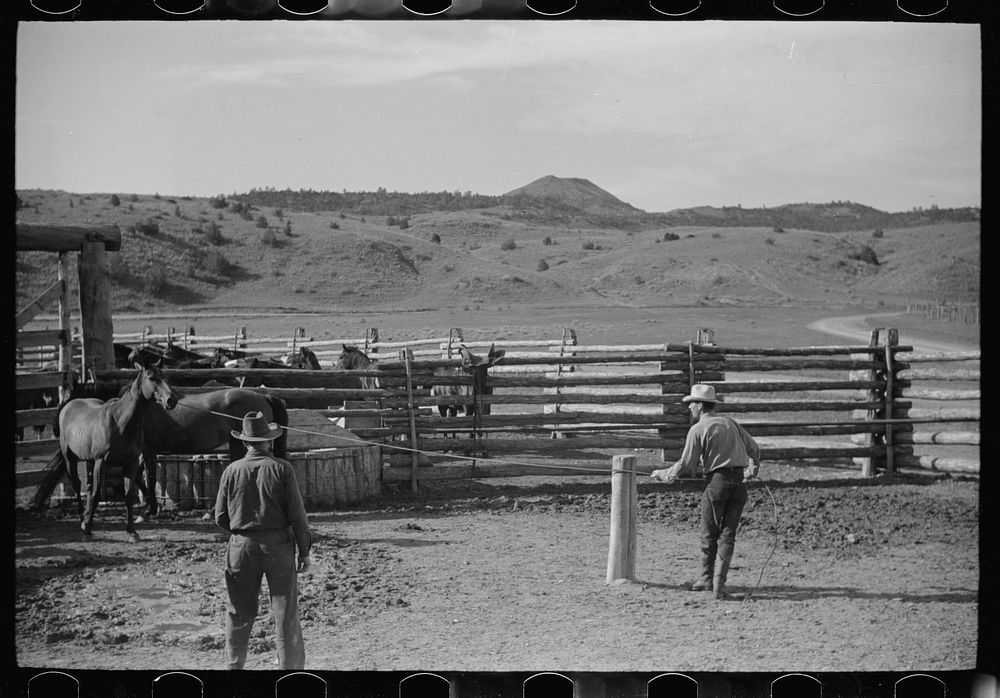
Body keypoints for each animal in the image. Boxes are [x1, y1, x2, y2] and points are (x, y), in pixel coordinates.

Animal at [55, 362, 180, 540]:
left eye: (166, 377)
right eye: (151, 378)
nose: (171, 400)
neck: (121, 422)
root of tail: (69, 406)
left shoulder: (131, 463)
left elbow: (128, 496)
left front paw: (132, 531)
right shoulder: (101, 462)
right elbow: (96, 495)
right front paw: (87, 529)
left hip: (89, 461)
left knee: (88, 486)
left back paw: (86, 516)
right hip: (70, 458)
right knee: (78, 485)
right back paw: (82, 519)